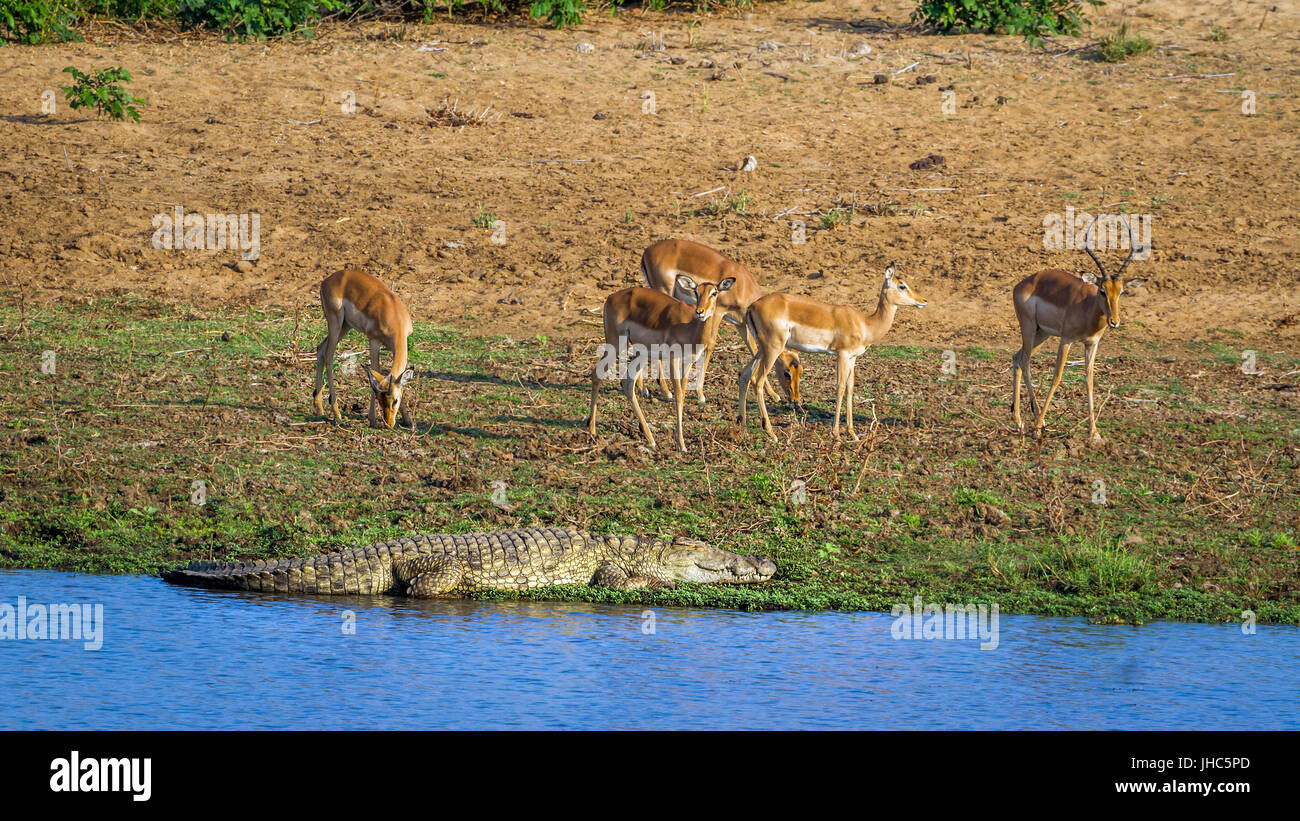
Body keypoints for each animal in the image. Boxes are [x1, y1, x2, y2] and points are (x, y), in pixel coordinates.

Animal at [312, 267, 415, 429]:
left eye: (395, 400)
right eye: (380, 400)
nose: (389, 424)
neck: (395, 317)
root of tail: (328, 280)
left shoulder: (396, 346)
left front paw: (407, 420)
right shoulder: (374, 341)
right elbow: (374, 370)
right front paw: (372, 420)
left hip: (345, 325)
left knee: (320, 349)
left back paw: (319, 409)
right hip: (336, 322)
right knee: (328, 355)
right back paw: (337, 414)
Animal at [587, 276, 733, 452]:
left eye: (714, 292)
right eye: (696, 292)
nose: (700, 312)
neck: (691, 329)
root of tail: (610, 297)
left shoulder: (688, 362)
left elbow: (683, 393)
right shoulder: (673, 359)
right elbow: (678, 395)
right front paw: (681, 445)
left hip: (641, 353)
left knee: (627, 382)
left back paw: (651, 439)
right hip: (616, 344)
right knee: (597, 374)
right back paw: (592, 431)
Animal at [641, 239, 802, 406]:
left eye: (800, 372)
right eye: (787, 373)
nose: (794, 400)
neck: (743, 286)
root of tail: (648, 250)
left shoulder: (741, 324)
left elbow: (753, 348)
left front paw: (773, 394)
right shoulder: (718, 312)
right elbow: (711, 343)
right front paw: (700, 394)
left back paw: (645, 389)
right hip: (664, 292)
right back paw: (665, 391)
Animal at [739, 263, 927, 442]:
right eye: (902, 285)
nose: (923, 300)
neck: (864, 324)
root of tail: (753, 306)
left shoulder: (852, 358)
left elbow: (850, 388)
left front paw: (853, 434)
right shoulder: (842, 355)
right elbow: (840, 388)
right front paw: (836, 434)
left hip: (762, 349)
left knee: (745, 374)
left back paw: (743, 426)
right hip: (772, 349)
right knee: (758, 381)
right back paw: (771, 433)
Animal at [1012, 215, 1138, 444]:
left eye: (1122, 291)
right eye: (1102, 290)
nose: (1114, 321)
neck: (1088, 309)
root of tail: (1022, 284)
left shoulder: (1091, 344)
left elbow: (1089, 380)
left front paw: (1094, 433)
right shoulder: (1066, 340)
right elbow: (1057, 376)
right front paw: (1037, 430)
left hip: (1042, 333)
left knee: (1016, 358)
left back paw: (1023, 421)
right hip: (1028, 328)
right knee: (1024, 361)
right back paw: (1031, 423)